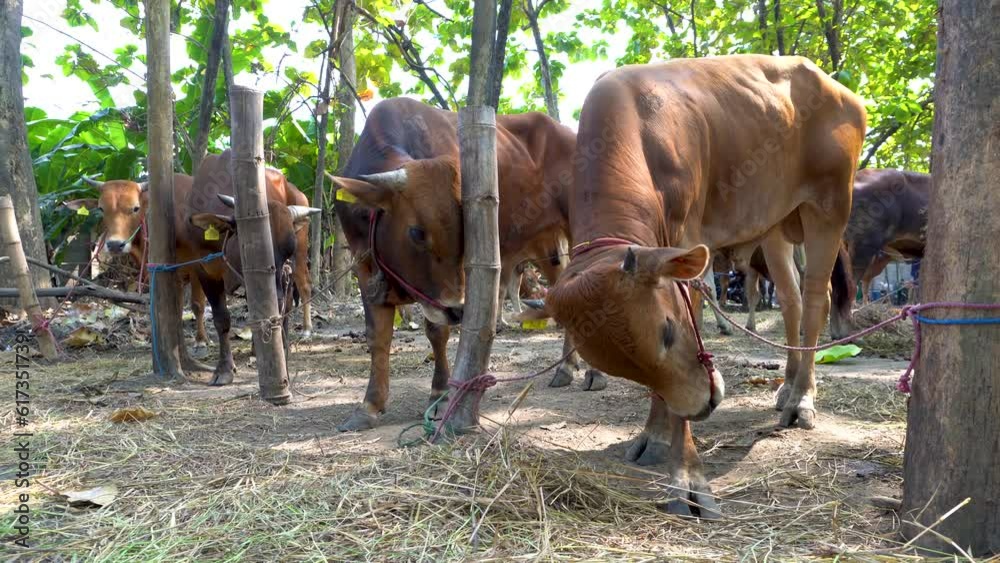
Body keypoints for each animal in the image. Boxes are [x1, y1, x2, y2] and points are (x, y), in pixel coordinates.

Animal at [184, 150, 320, 385]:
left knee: (302, 288)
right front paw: (224, 369)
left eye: (288, 250)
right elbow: (221, 318)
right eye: (251, 249)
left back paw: (304, 331)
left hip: (300, 258)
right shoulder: (205, 270)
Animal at [327, 97, 602, 432]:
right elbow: (377, 337)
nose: (457, 310)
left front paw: (440, 394)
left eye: (466, 231)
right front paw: (369, 405)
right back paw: (566, 368)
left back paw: (594, 372)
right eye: (417, 232)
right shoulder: (365, 270)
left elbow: (437, 331)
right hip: (544, 243)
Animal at [533, 56, 865, 518]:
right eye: (624, 369)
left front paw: (687, 476)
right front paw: (654, 435)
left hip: (829, 206)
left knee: (817, 298)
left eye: (669, 332)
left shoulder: (687, 238)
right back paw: (786, 387)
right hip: (774, 224)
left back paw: (802, 400)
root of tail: (839, 89)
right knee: (791, 300)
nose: (703, 405)